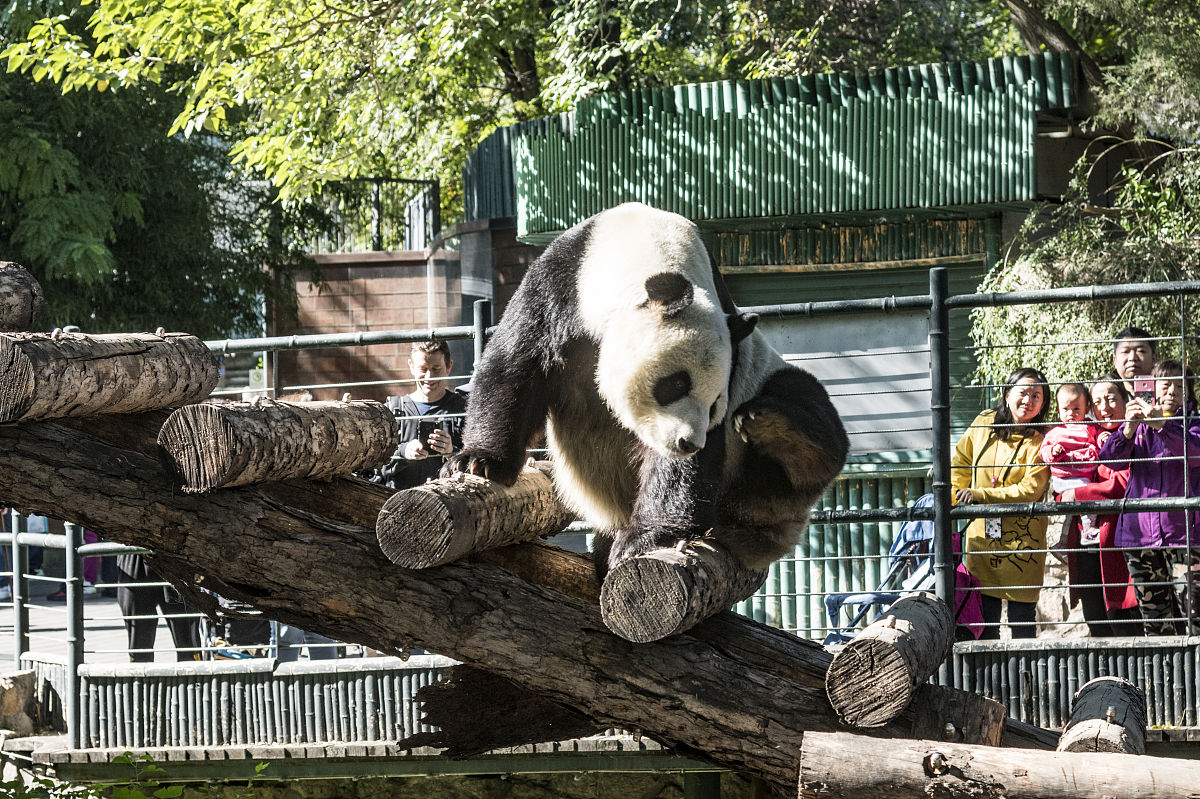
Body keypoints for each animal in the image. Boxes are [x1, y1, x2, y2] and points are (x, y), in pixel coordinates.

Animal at [443, 202, 848, 576]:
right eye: (675, 385)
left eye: (716, 403)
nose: (688, 443)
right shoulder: (560, 281)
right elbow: (515, 363)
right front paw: (479, 461)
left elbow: (686, 465)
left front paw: (646, 537)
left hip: (759, 455)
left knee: (809, 418)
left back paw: (771, 426)